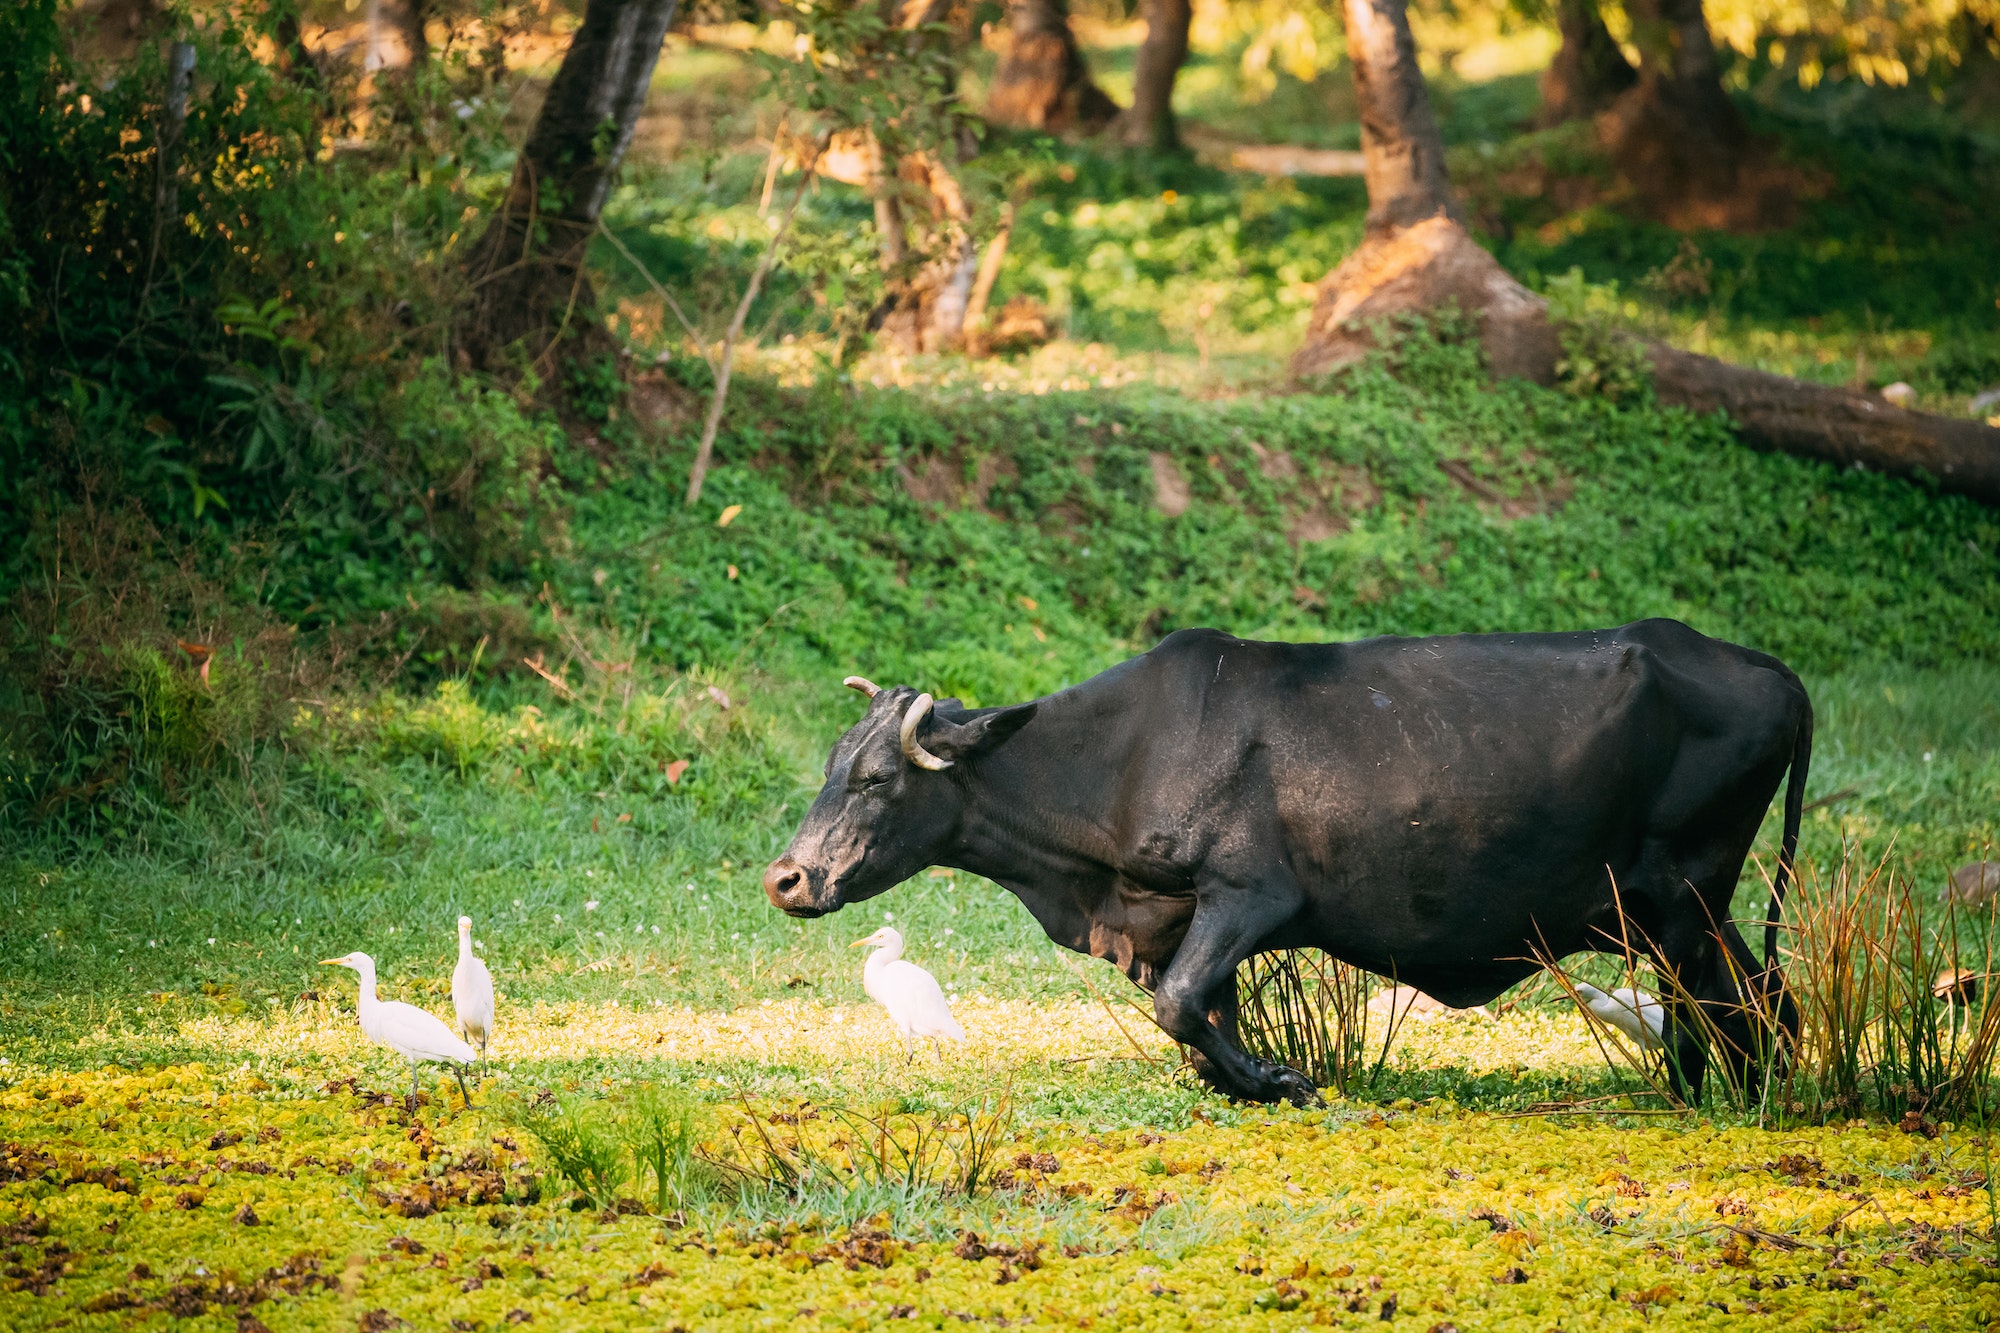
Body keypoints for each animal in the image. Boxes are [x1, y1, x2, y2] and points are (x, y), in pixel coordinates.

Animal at [763, 619, 1811, 1105]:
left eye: (875, 777)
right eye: (832, 762)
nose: (786, 877)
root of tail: (1765, 667)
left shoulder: (1249, 892)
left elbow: (1180, 1004)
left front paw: (1284, 1079)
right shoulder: (1179, 916)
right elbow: (1199, 1015)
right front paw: (1248, 1079)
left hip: (1683, 897)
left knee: (1733, 1003)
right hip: (1685, 911)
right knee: (1760, 999)